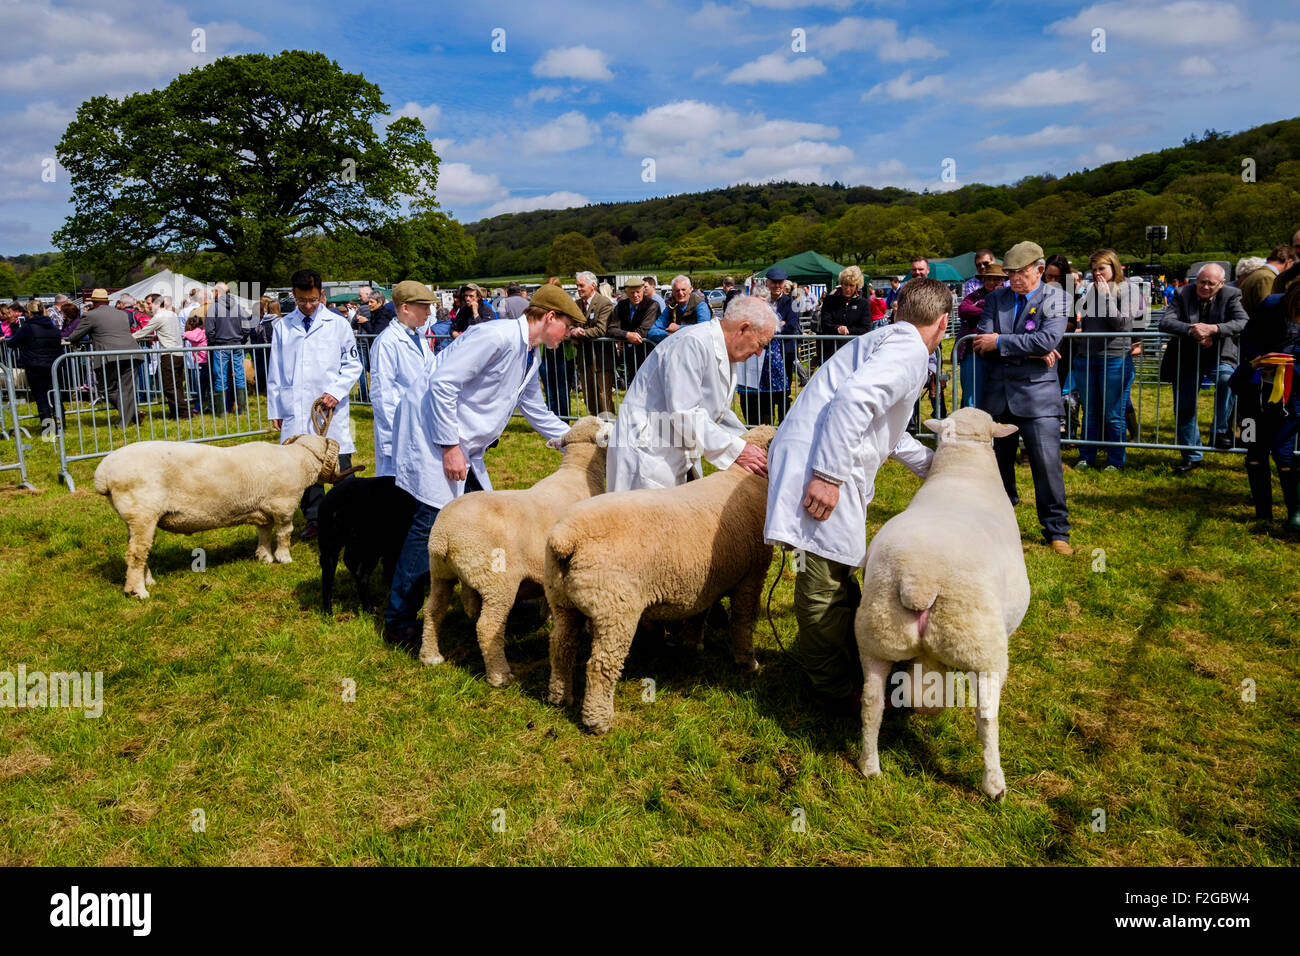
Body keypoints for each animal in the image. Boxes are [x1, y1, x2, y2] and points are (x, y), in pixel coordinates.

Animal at [94, 434, 354, 598]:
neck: (299, 461)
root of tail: (103, 474)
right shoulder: (283, 506)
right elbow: (284, 533)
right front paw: (284, 558)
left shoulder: (265, 510)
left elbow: (264, 533)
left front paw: (264, 557)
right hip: (142, 513)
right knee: (136, 554)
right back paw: (138, 592)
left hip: (137, 520)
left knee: (140, 551)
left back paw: (147, 581)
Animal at [318, 475, 417, 615]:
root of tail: (336, 506)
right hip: (369, 547)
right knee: (360, 573)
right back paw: (369, 608)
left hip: (330, 544)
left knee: (329, 573)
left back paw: (328, 611)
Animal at [420, 416, 614, 687]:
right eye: (602, 425)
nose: (614, 421)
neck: (578, 471)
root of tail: (444, 535)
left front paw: (549, 615)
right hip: (497, 582)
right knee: (488, 627)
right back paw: (500, 675)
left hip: (440, 571)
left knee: (433, 609)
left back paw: (430, 656)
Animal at [544, 424, 777, 734]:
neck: (743, 478)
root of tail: (566, 539)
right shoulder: (751, 577)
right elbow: (741, 622)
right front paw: (747, 662)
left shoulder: (705, 579)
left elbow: (699, 613)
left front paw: (693, 644)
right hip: (615, 610)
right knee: (600, 666)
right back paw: (598, 721)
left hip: (562, 602)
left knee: (560, 646)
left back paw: (559, 697)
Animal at [854, 407, 1029, 800]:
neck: (963, 468)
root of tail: (919, 580)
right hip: (983, 647)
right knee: (986, 716)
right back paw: (994, 783)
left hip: (875, 635)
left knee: (871, 702)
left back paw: (870, 767)